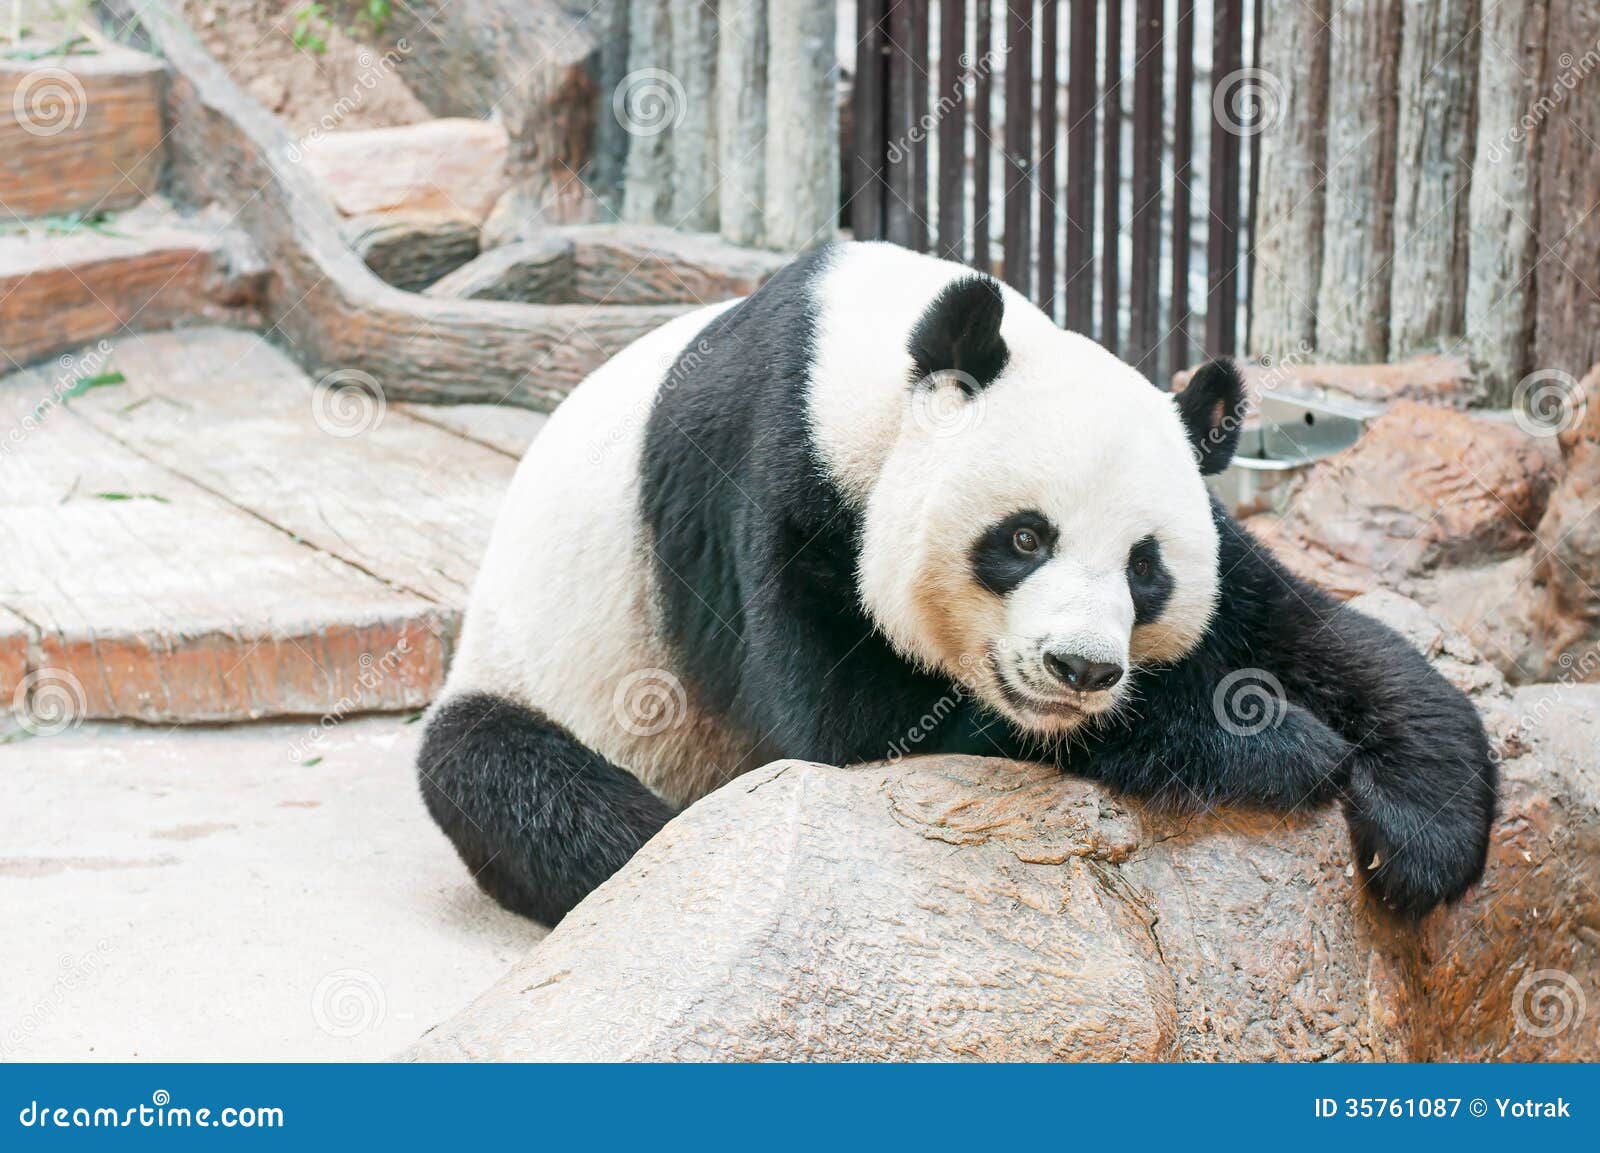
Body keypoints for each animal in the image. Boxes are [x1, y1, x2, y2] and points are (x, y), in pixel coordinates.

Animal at [419, 241, 1496, 926]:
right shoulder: (764, 478)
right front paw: (1279, 744)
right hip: (545, 677)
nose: (1080, 669)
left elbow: (1316, 634)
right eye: (1022, 537)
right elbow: (853, 719)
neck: (869, 360)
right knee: (512, 782)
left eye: (1145, 569)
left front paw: (1416, 836)